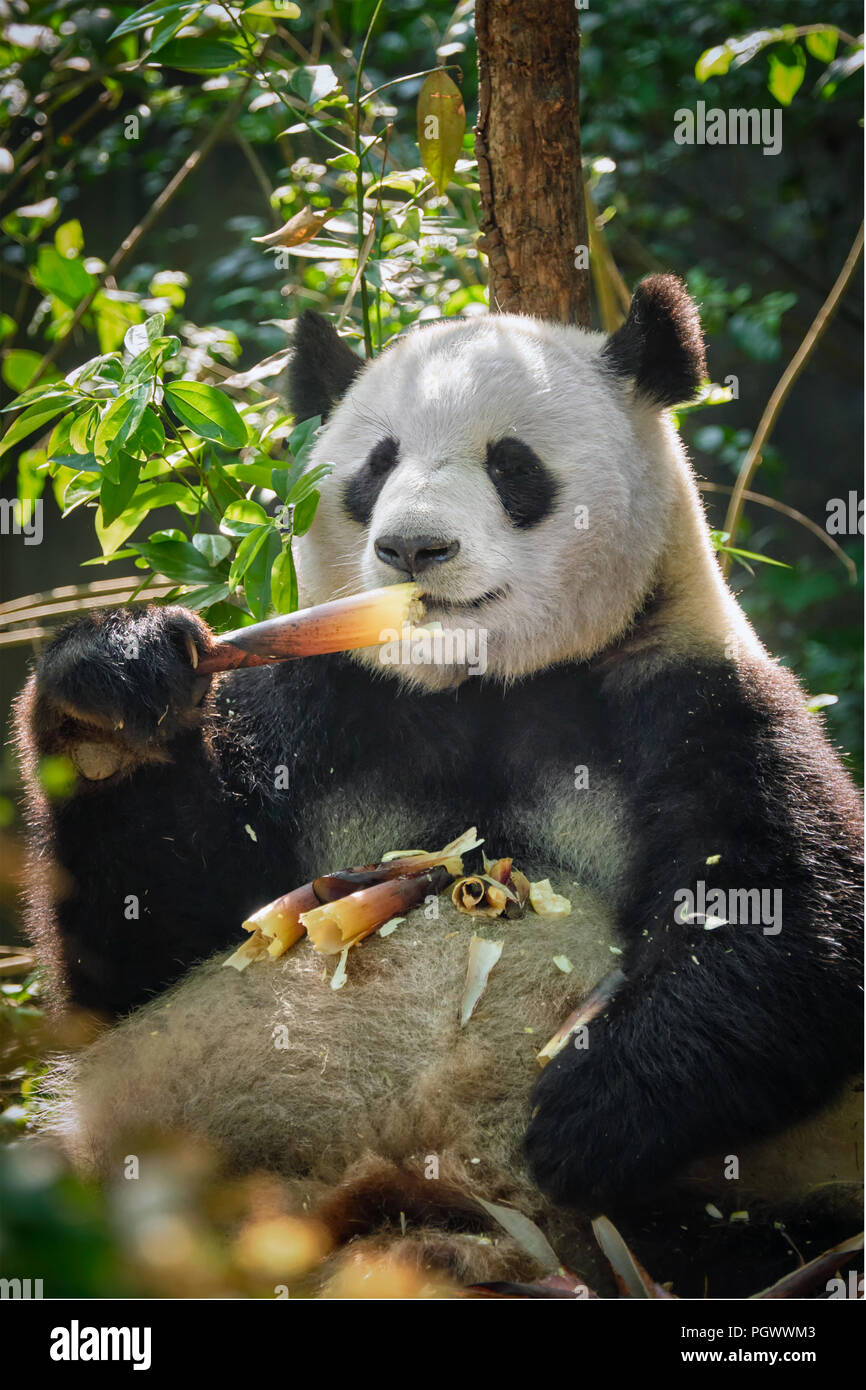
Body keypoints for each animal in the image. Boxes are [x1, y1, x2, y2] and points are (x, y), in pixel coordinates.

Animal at [15, 276, 863, 1293]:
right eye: (375, 466)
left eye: (512, 465)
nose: (412, 550)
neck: (479, 687)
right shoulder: (316, 707)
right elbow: (139, 952)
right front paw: (113, 697)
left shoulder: (688, 691)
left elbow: (788, 925)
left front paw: (586, 1114)